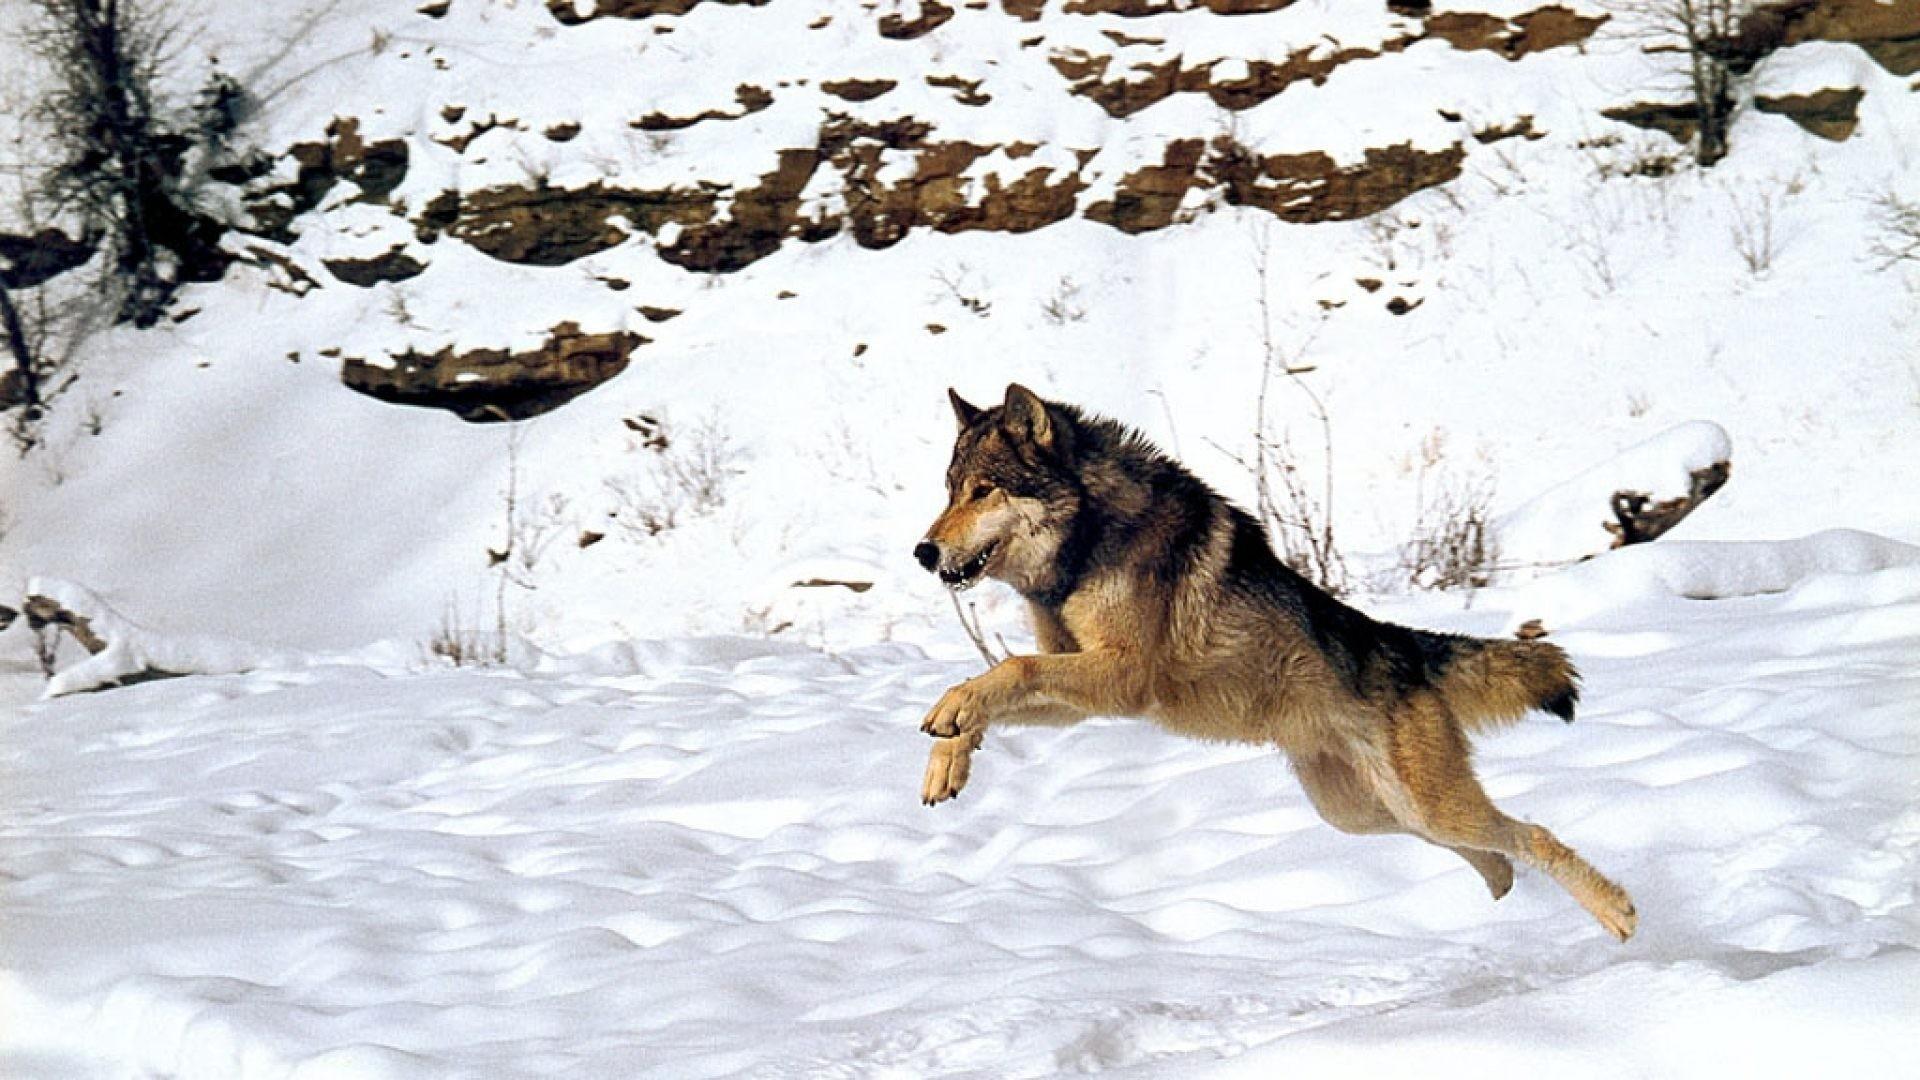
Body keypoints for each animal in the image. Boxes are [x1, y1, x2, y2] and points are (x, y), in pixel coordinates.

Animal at [912, 384, 1637, 941]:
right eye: (948, 491)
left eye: (983, 491)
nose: (922, 551)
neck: (1087, 543)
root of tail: (1399, 643)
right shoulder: (1078, 678)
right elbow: (993, 687)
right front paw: (949, 755)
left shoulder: (1123, 678)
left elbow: (1009, 671)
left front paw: (952, 716)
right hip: (1366, 814)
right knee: (1494, 852)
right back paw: (1505, 898)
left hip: (1423, 806)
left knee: (1530, 833)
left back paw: (1618, 913)